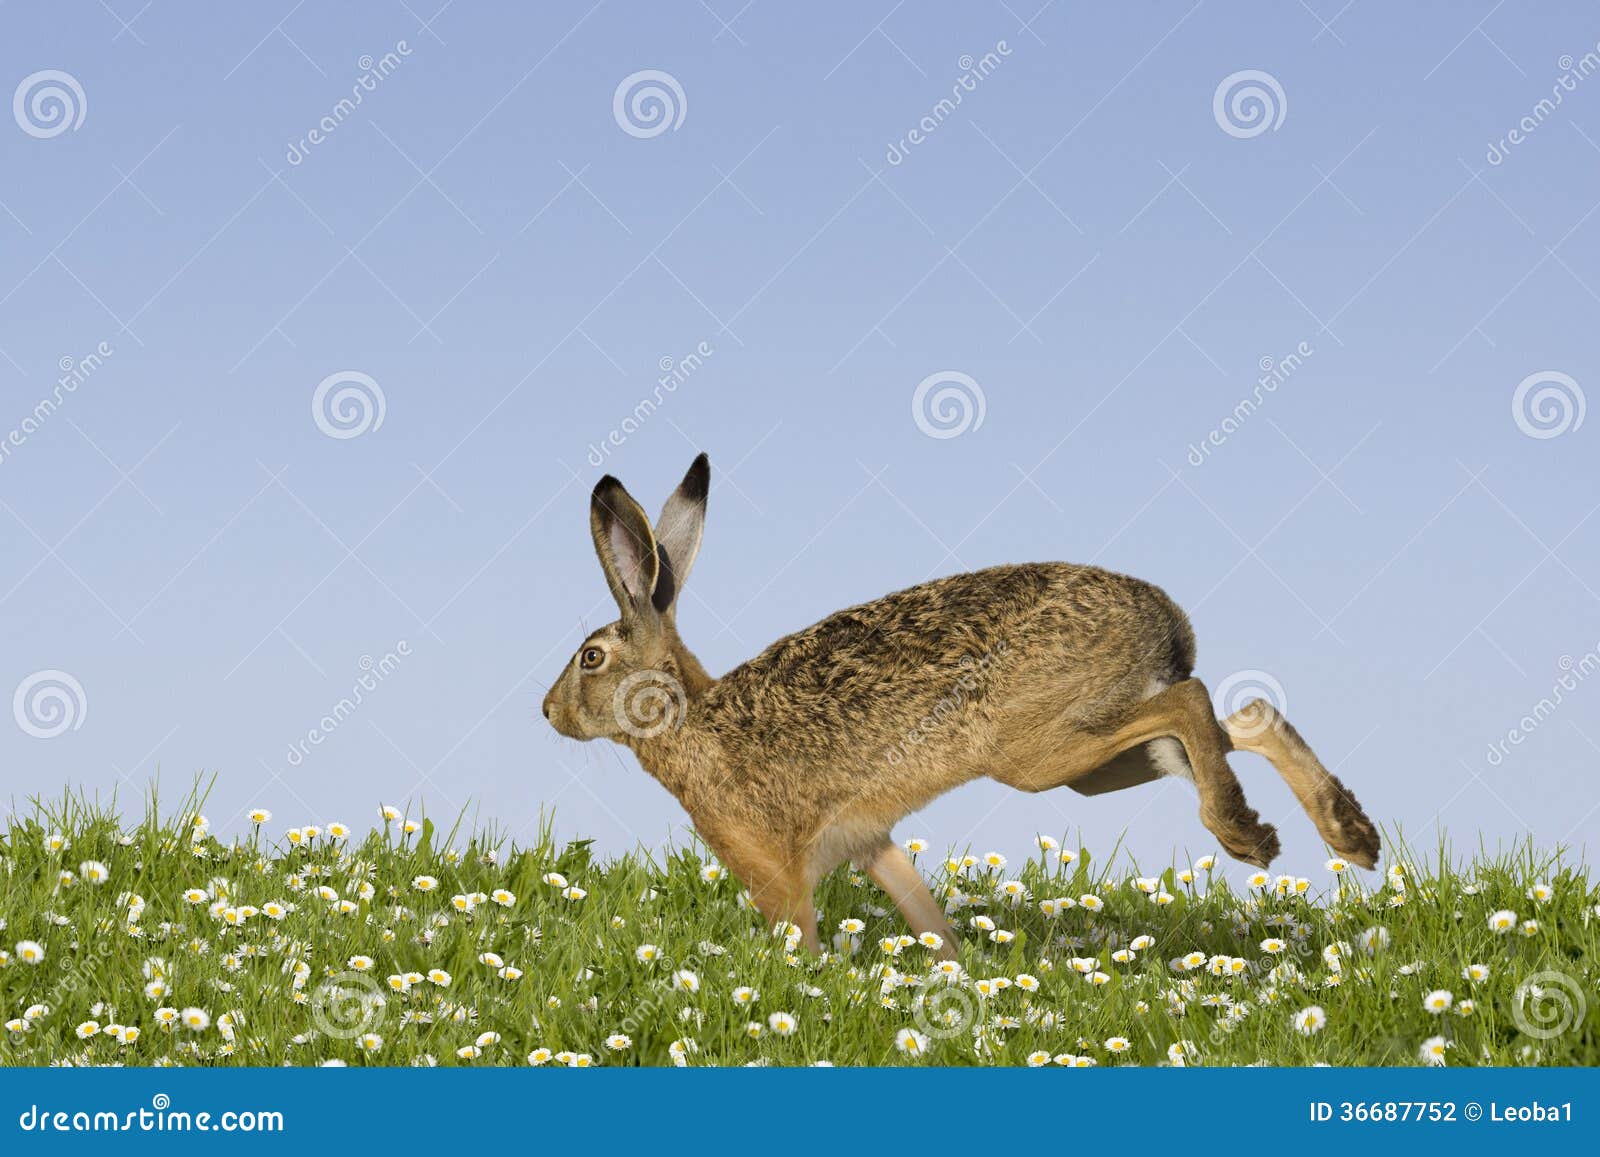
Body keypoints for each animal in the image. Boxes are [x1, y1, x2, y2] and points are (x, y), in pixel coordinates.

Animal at [542, 453, 1380, 959]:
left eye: (590, 658)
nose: (548, 712)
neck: (688, 719)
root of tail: (1163, 621)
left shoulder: (773, 869)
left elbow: (797, 931)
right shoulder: (869, 840)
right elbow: (924, 914)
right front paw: (953, 969)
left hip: (1037, 749)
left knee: (1191, 698)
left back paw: (1245, 833)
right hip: (1098, 755)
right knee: (1242, 715)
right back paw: (1350, 833)